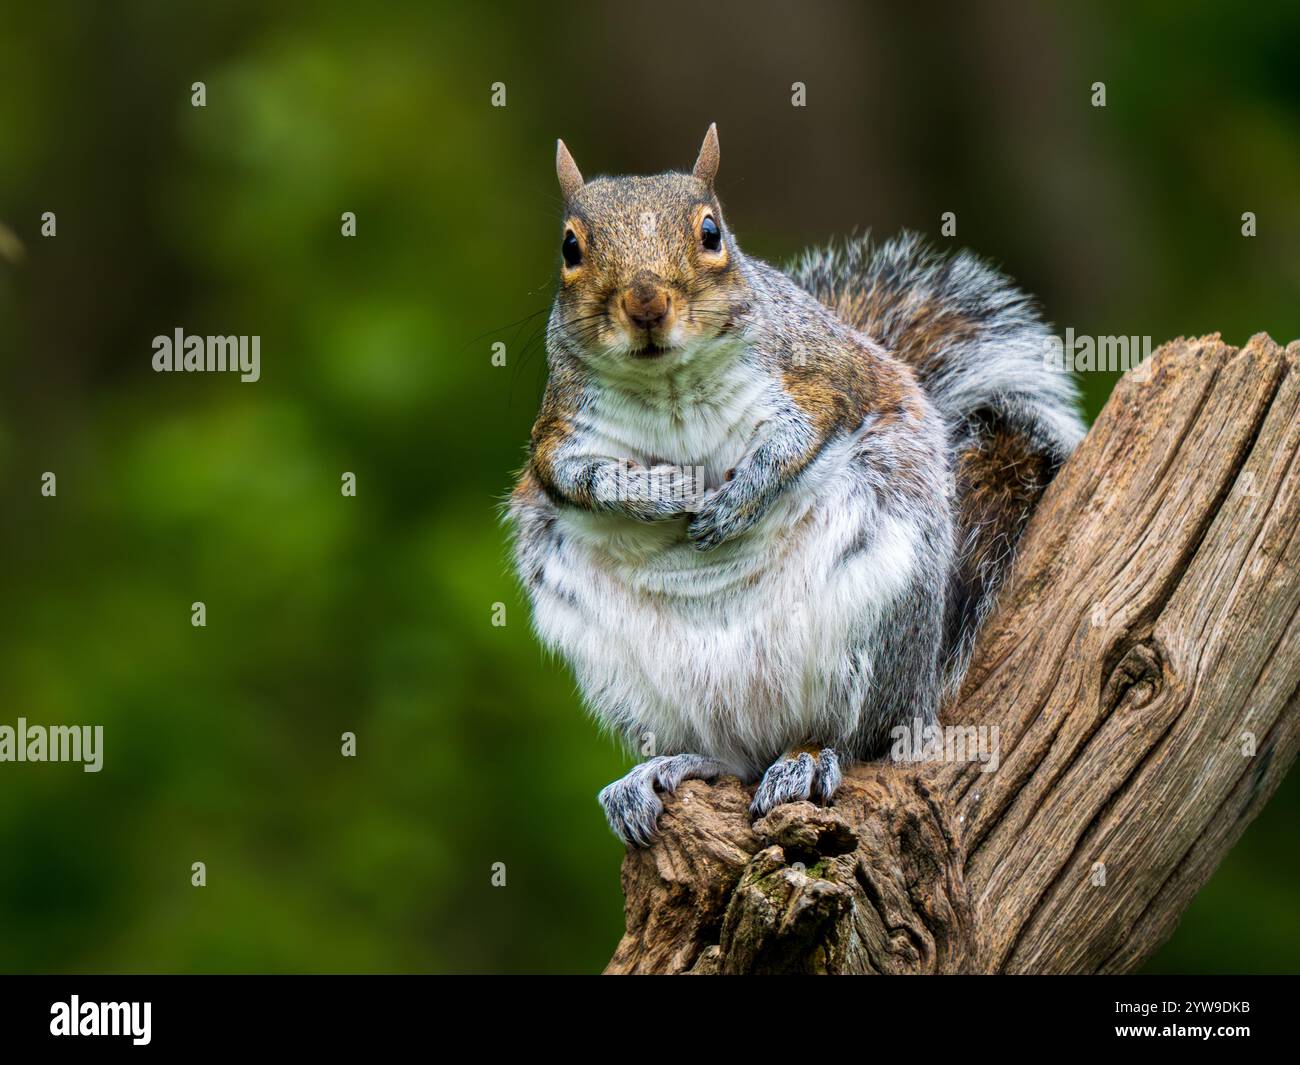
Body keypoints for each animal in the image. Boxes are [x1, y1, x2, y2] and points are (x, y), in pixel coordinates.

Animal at [507, 125, 1084, 846]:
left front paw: (735, 501)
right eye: (570, 247)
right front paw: (661, 493)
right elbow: (576, 479)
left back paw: (809, 756)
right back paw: (662, 770)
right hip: (625, 673)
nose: (645, 303)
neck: (667, 383)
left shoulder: (824, 375)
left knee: (857, 738)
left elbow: (799, 439)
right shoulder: (559, 432)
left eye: (712, 232)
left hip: (875, 626)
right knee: (727, 755)